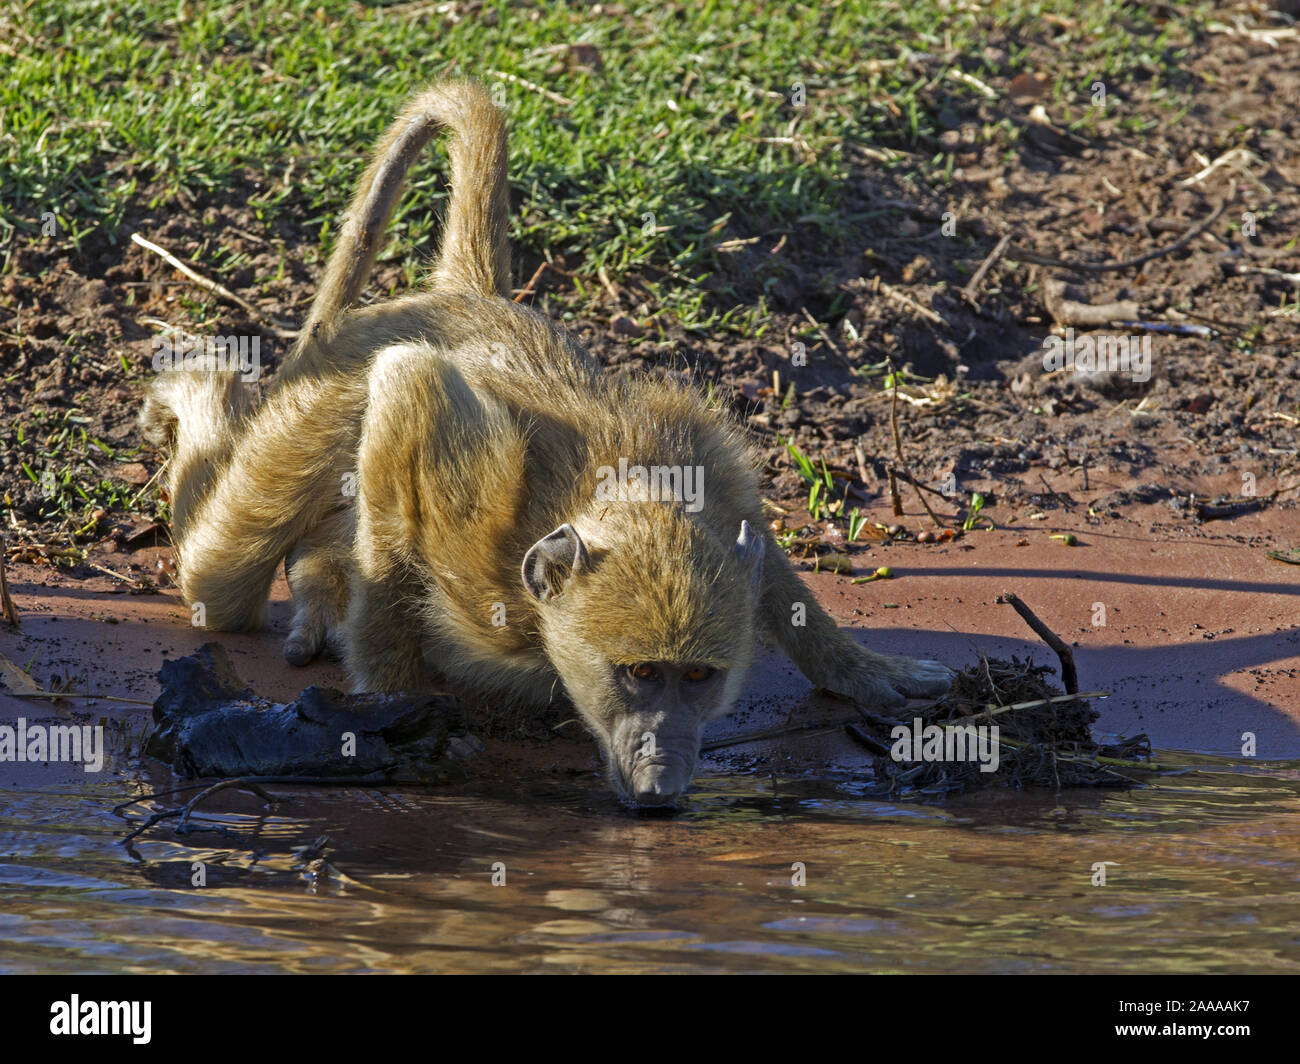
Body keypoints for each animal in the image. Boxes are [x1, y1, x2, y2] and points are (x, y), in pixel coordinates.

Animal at [139, 80, 953, 807]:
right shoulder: (477, 528)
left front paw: (861, 671)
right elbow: (409, 388)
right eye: (639, 674)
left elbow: (760, 551)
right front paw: (390, 712)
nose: (660, 782)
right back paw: (197, 389)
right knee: (222, 580)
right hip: (316, 403)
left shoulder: (707, 463)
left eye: (697, 677)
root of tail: (467, 296)